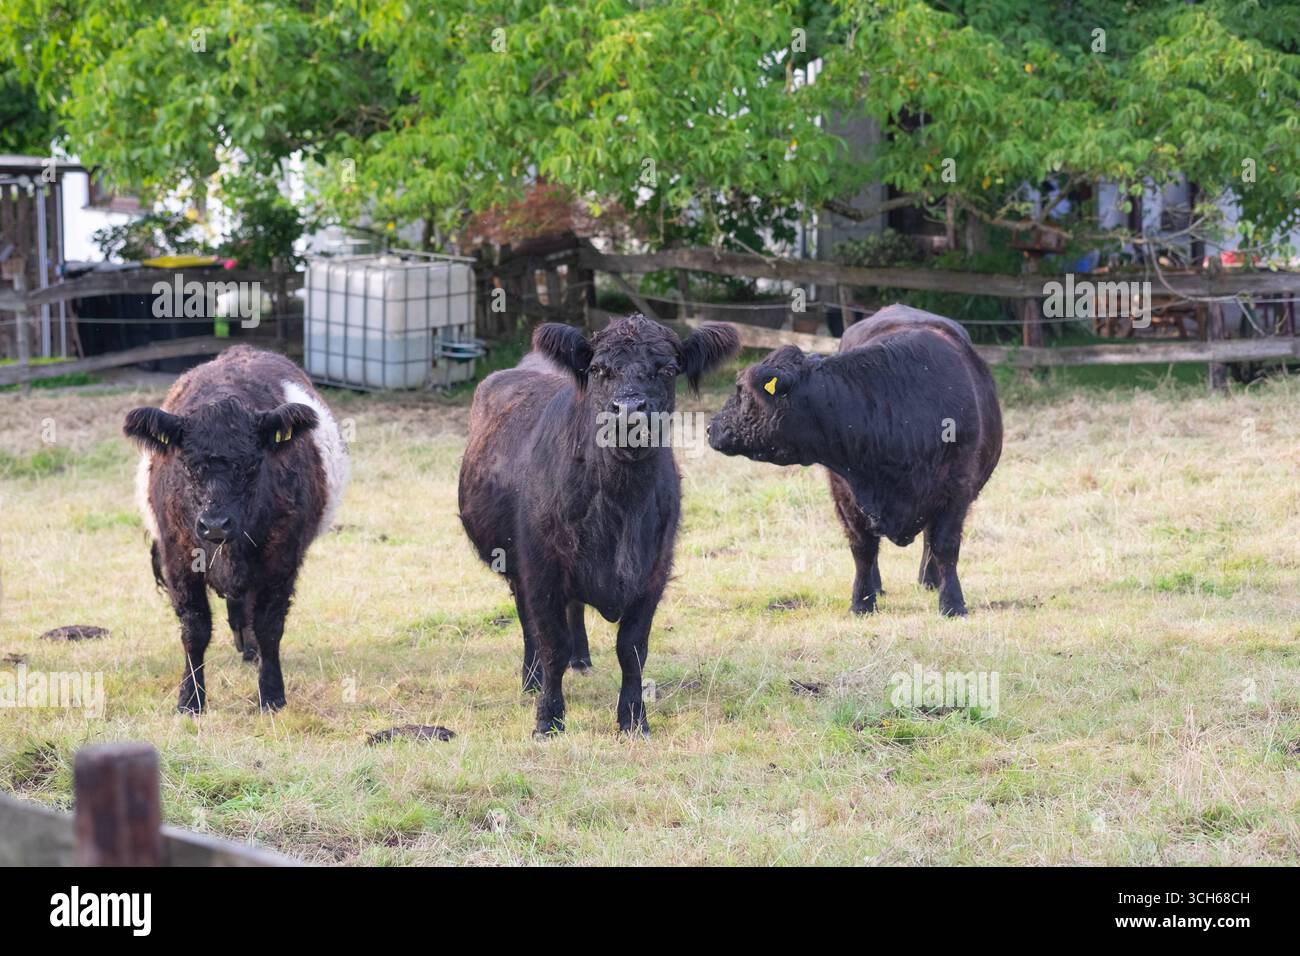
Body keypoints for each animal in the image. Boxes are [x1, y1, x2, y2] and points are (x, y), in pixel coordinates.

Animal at [124, 345, 348, 713]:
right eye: (187, 463)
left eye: (253, 464)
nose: (215, 524)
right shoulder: (178, 558)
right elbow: (195, 629)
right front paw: (190, 699)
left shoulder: (281, 559)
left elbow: (270, 626)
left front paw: (272, 695)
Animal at [458, 315, 738, 737]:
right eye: (598, 369)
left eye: (668, 369)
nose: (629, 409)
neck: (619, 505)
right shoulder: (540, 568)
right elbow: (551, 642)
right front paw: (548, 718)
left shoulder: (653, 571)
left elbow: (632, 649)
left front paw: (634, 719)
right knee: (528, 621)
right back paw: (532, 679)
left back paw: (581, 660)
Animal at [707, 304, 1002, 617]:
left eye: (741, 390)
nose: (710, 426)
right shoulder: (845, 492)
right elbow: (863, 549)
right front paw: (862, 601)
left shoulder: (956, 490)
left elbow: (944, 545)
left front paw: (952, 603)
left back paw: (928, 580)